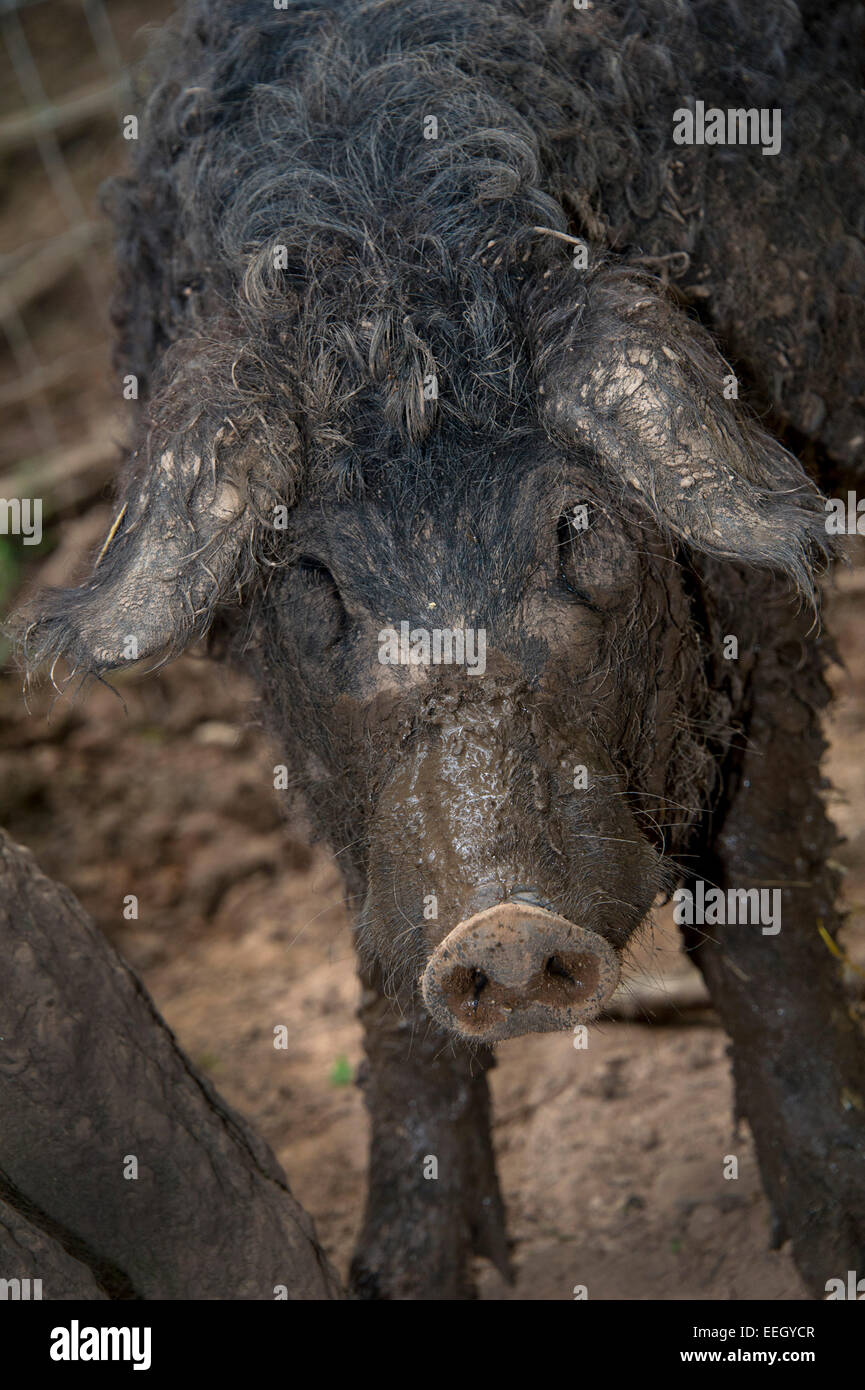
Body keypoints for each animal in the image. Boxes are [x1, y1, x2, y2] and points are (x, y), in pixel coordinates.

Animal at [18, 0, 865, 1298]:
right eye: (311, 580)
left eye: (577, 527)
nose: (502, 930)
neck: (389, 237)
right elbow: (382, 965)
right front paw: (397, 1273)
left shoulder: (761, 614)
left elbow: (766, 904)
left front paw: (835, 1245)